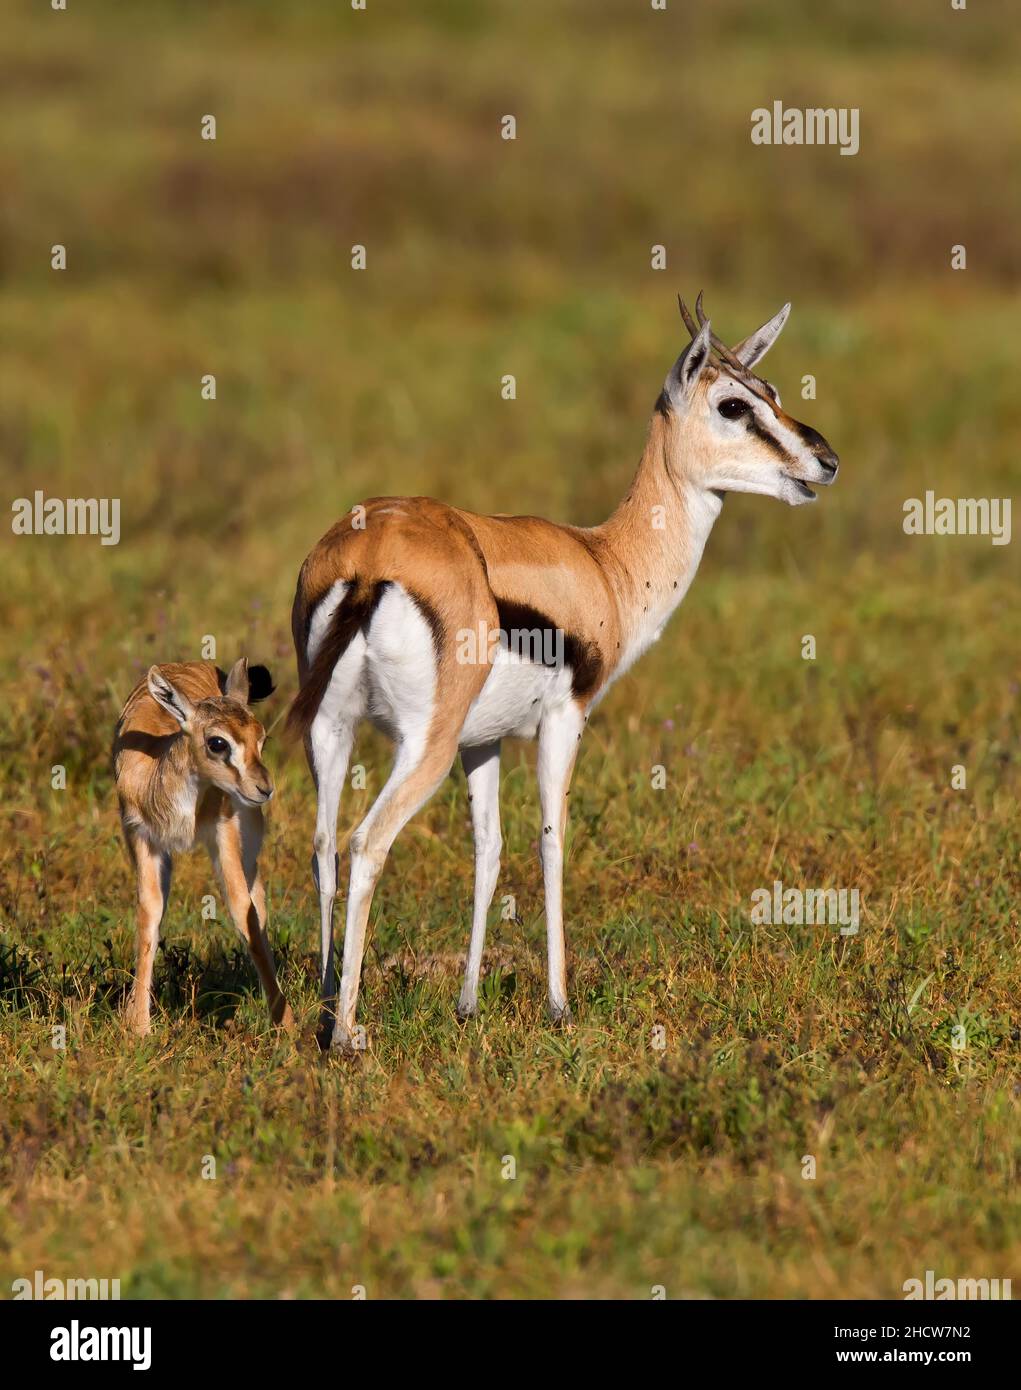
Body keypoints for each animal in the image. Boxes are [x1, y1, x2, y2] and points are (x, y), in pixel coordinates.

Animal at [114, 657, 294, 1037]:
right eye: (217, 742)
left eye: (261, 738)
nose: (265, 788)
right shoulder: (141, 836)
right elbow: (149, 912)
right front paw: (138, 1025)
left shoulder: (222, 833)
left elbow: (243, 910)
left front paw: (286, 1023)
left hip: (247, 838)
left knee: (258, 903)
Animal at [287, 294, 839, 1052]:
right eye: (732, 405)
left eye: (774, 392)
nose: (825, 461)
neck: (603, 564)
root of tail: (369, 556)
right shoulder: (564, 718)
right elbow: (551, 843)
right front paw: (558, 1004)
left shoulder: (481, 741)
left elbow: (488, 849)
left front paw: (468, 1004)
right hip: (421, 746)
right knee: (367, 840)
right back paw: (347, 1031)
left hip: (333, 730)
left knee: (321, 844)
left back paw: (321, 1010)